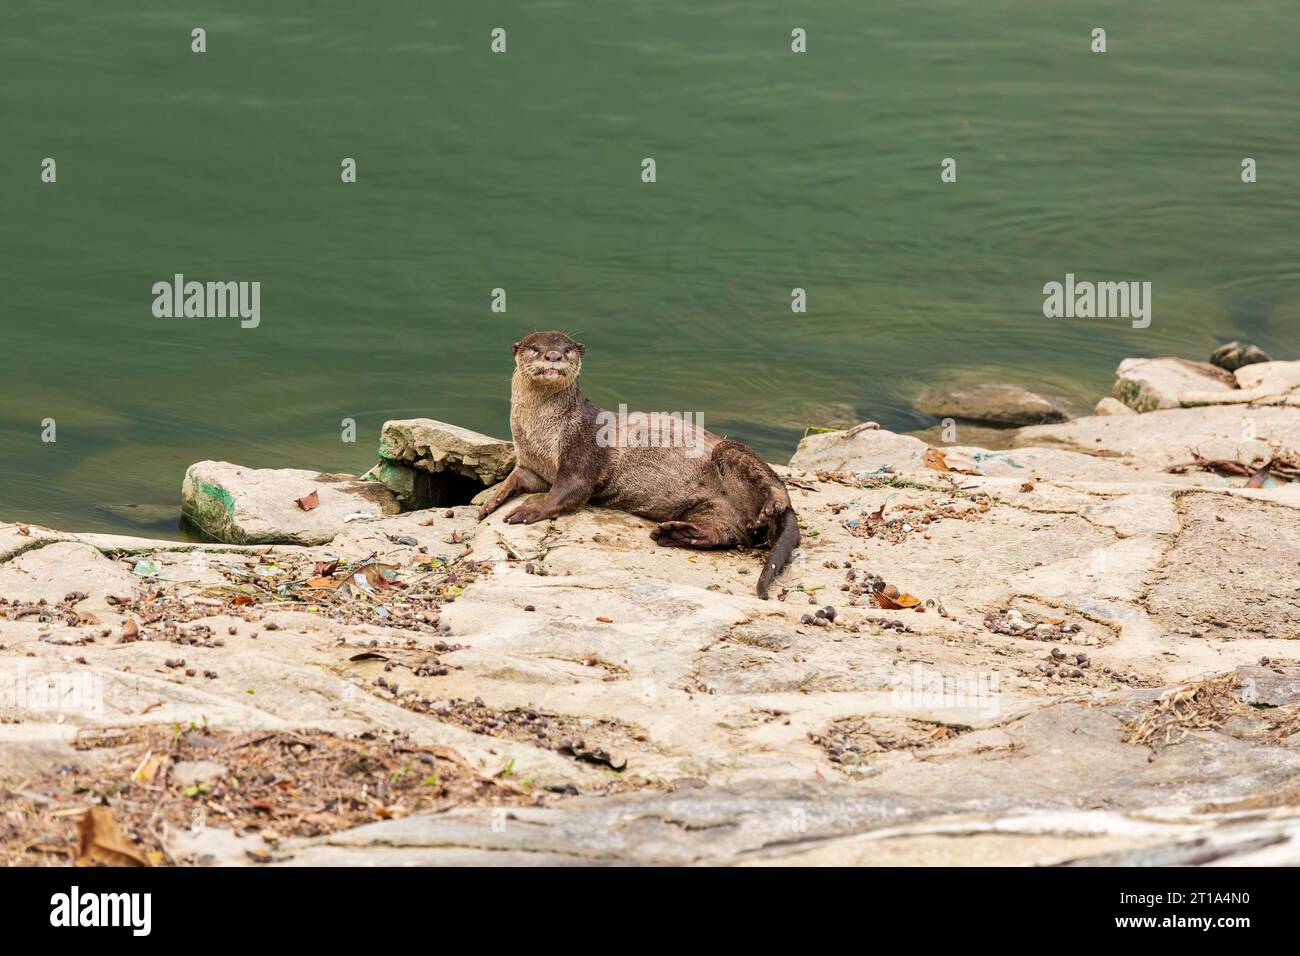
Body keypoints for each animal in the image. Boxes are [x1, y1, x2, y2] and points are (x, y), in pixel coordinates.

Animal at [477, 331, 800, 598]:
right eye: (535, 347)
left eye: (567, 349)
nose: (553, 356)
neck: (542, 433)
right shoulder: (533, 466)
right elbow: (517, 479)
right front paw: (491, 502)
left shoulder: (581, 449)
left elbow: (567, 491)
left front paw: (529, 510)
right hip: (713, 509)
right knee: (730, 533)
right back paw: (678, 533)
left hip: (730, 451)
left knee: (775, 488)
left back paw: (771, 506)